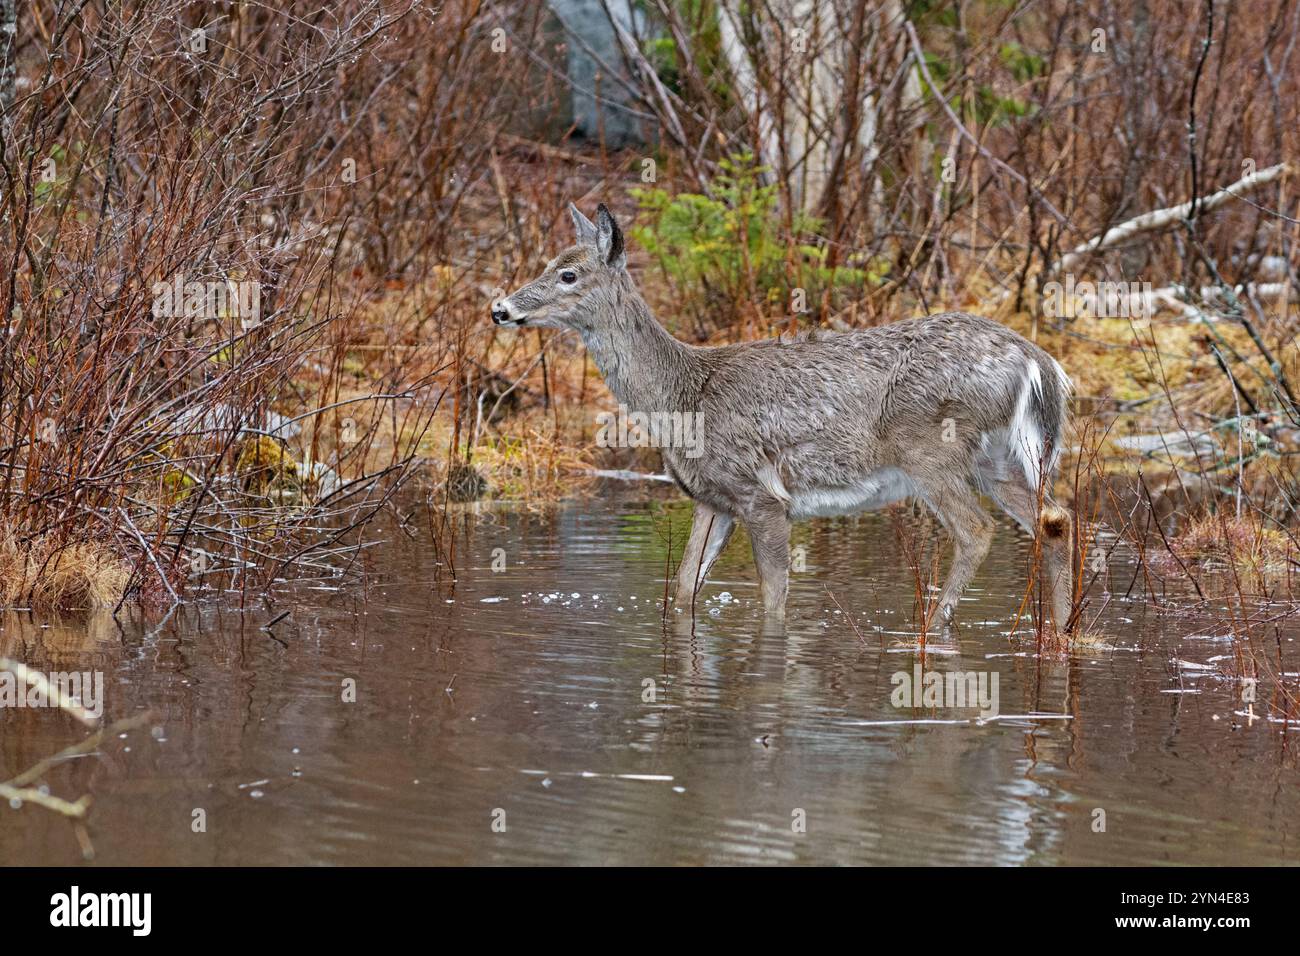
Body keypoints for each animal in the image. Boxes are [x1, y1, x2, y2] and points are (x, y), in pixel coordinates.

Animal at [491, 203, 1075, 632]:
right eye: (546, 264)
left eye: (568, 274)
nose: (500, 308)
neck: (683, 397)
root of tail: (1037, 360)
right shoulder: (712, 499)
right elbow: (683, 589)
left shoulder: (763, 495)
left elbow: (773, 600)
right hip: (998, 458)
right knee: (1056, 520)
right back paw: (1063, 631)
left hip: (931, 449)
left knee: (977, 530)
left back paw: (935, 627)